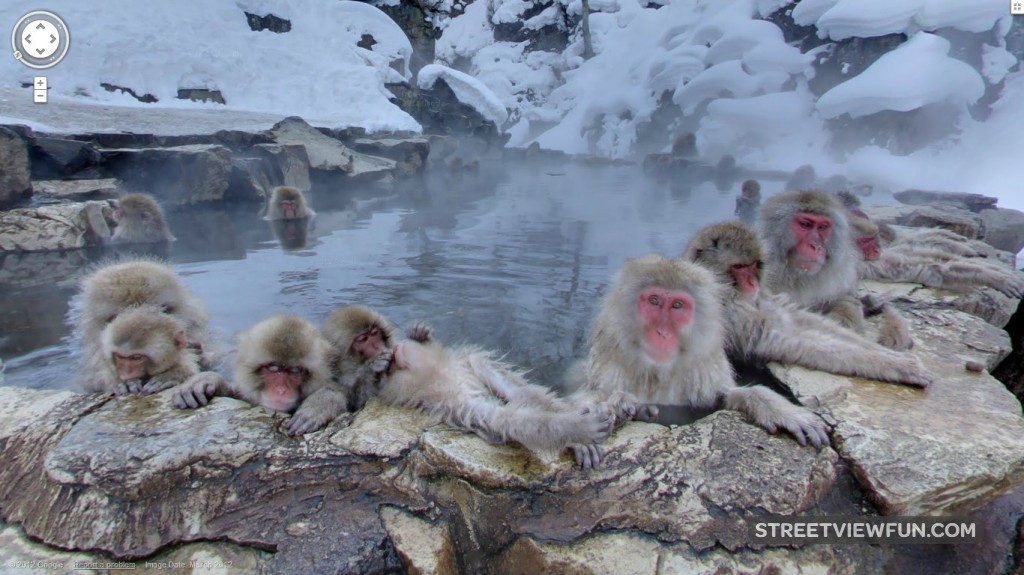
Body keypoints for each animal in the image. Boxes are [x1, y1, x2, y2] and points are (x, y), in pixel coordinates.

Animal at [378, 333, 614, 469]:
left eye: (393, 358)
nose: (395, 352)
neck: (441, 373)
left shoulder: (473, 366)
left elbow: (520, 395)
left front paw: (579, 438)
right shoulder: (464, 404)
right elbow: (506, 420)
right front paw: (579, 429)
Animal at [570, 254, 829, 448]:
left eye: (677, 305)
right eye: (654, 301)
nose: (662, 333)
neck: (658, 372)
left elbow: (723, 398)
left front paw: (780, 410)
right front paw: (615, 406)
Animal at [682, 221, 932, 387]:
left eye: (754, 265)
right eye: (739, 267)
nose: (752, 282)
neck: (728, 290)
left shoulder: (758, 297)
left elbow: (797, 319)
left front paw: (888, 353)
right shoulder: (726, 311)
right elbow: (787, 339)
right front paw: (899, 367)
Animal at [758, 189, 913, 351]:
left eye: (822, 227)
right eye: (806, 224)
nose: (815, 246)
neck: (798, 274)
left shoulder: (845, 271)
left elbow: (846, 300)